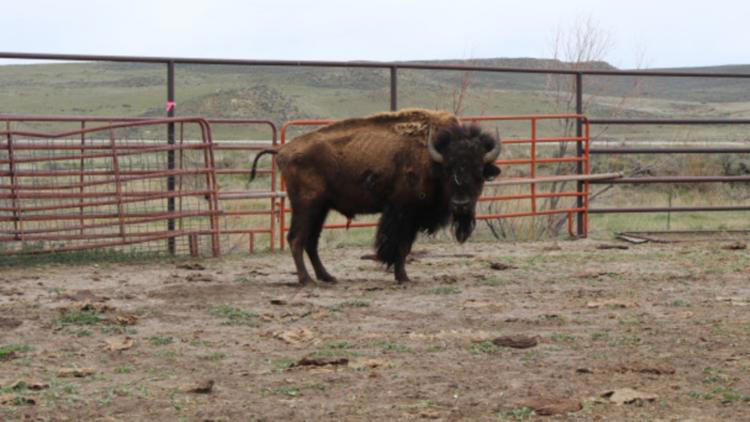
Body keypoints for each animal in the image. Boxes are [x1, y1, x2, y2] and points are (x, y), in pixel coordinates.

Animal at [250, 109, 501, 284]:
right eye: (449, 170)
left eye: (480, 172)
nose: (461, 204)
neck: (432, 159)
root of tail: (283, 150)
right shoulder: (403, 212)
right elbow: (400, 246)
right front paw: (403, 277)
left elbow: (405, 246)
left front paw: (401, 275)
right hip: (306, 206)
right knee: (296, 238)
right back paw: (307, 280)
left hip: (321, 208)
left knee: (311, 242)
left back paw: (328, 277)